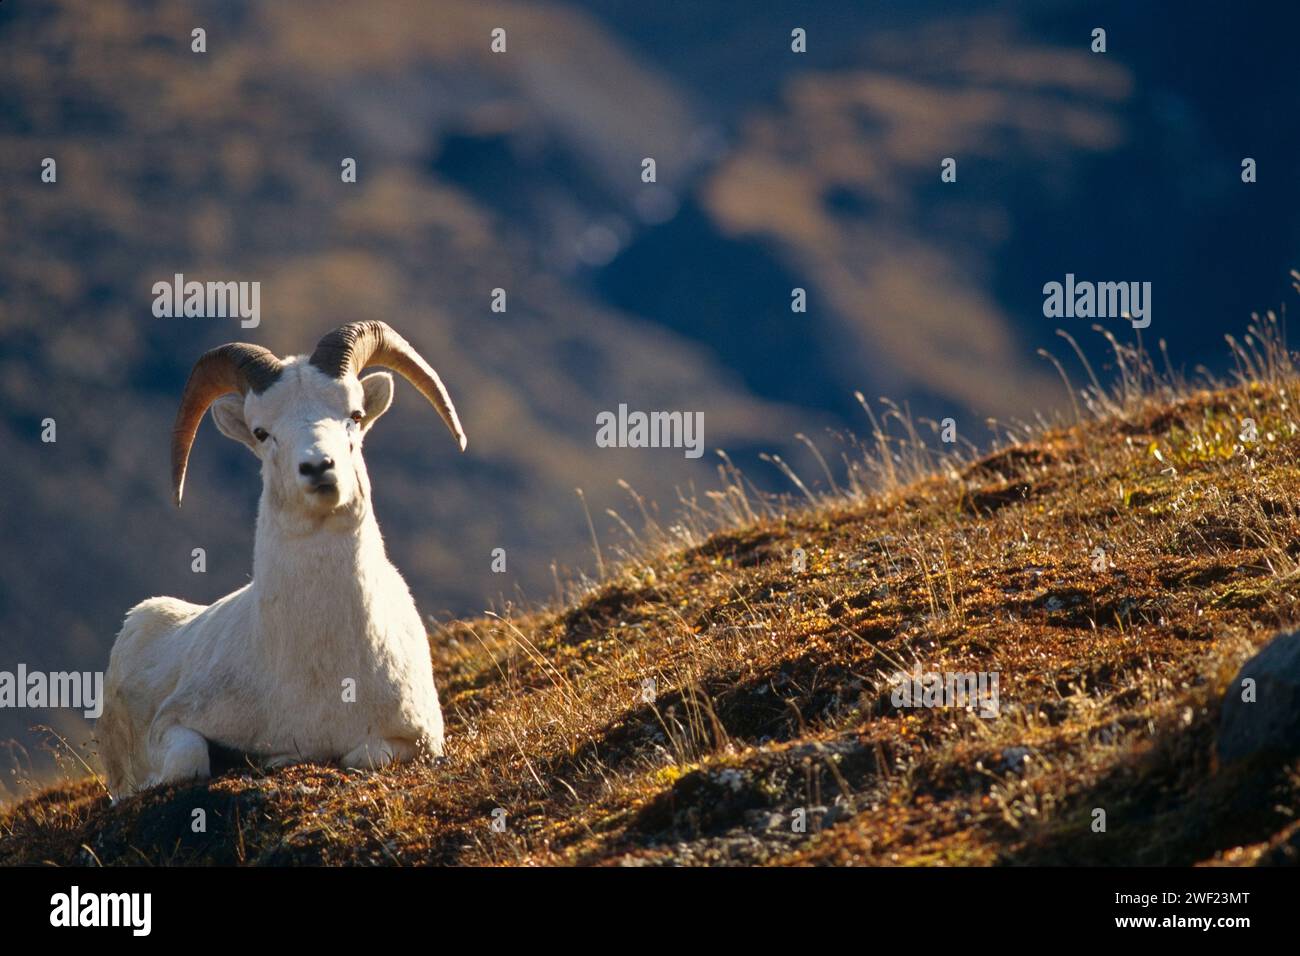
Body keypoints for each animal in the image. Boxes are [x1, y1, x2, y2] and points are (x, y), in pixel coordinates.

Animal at [98, 321, 467, 798]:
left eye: (355, 415)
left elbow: (364, 755)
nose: (318, 468)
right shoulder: (173, 725)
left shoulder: (417, 740)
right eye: (261, 432)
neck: (322, 670)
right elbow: (189, 759)